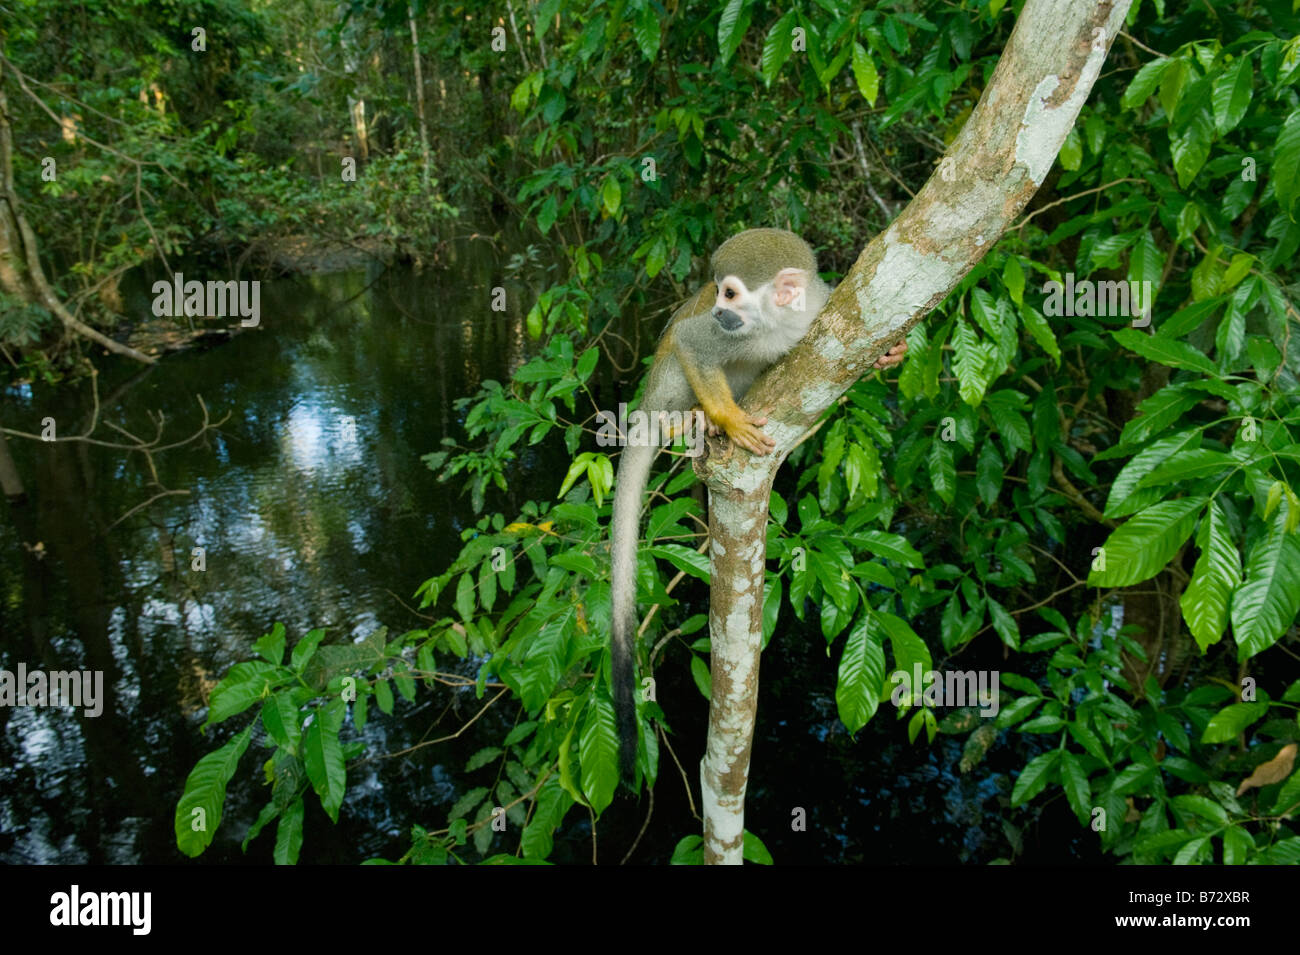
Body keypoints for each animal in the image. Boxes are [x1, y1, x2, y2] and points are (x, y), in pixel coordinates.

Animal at [607, 228, 907, 781]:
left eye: (729, 293)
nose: (718, 309)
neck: (780, 326)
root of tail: (647, 403)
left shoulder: (820, 308)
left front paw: (889, 355)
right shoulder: (725, 335)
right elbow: (692, 342)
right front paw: (727, 418)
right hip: (666, 386)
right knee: (684, 350)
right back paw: (699, 419)